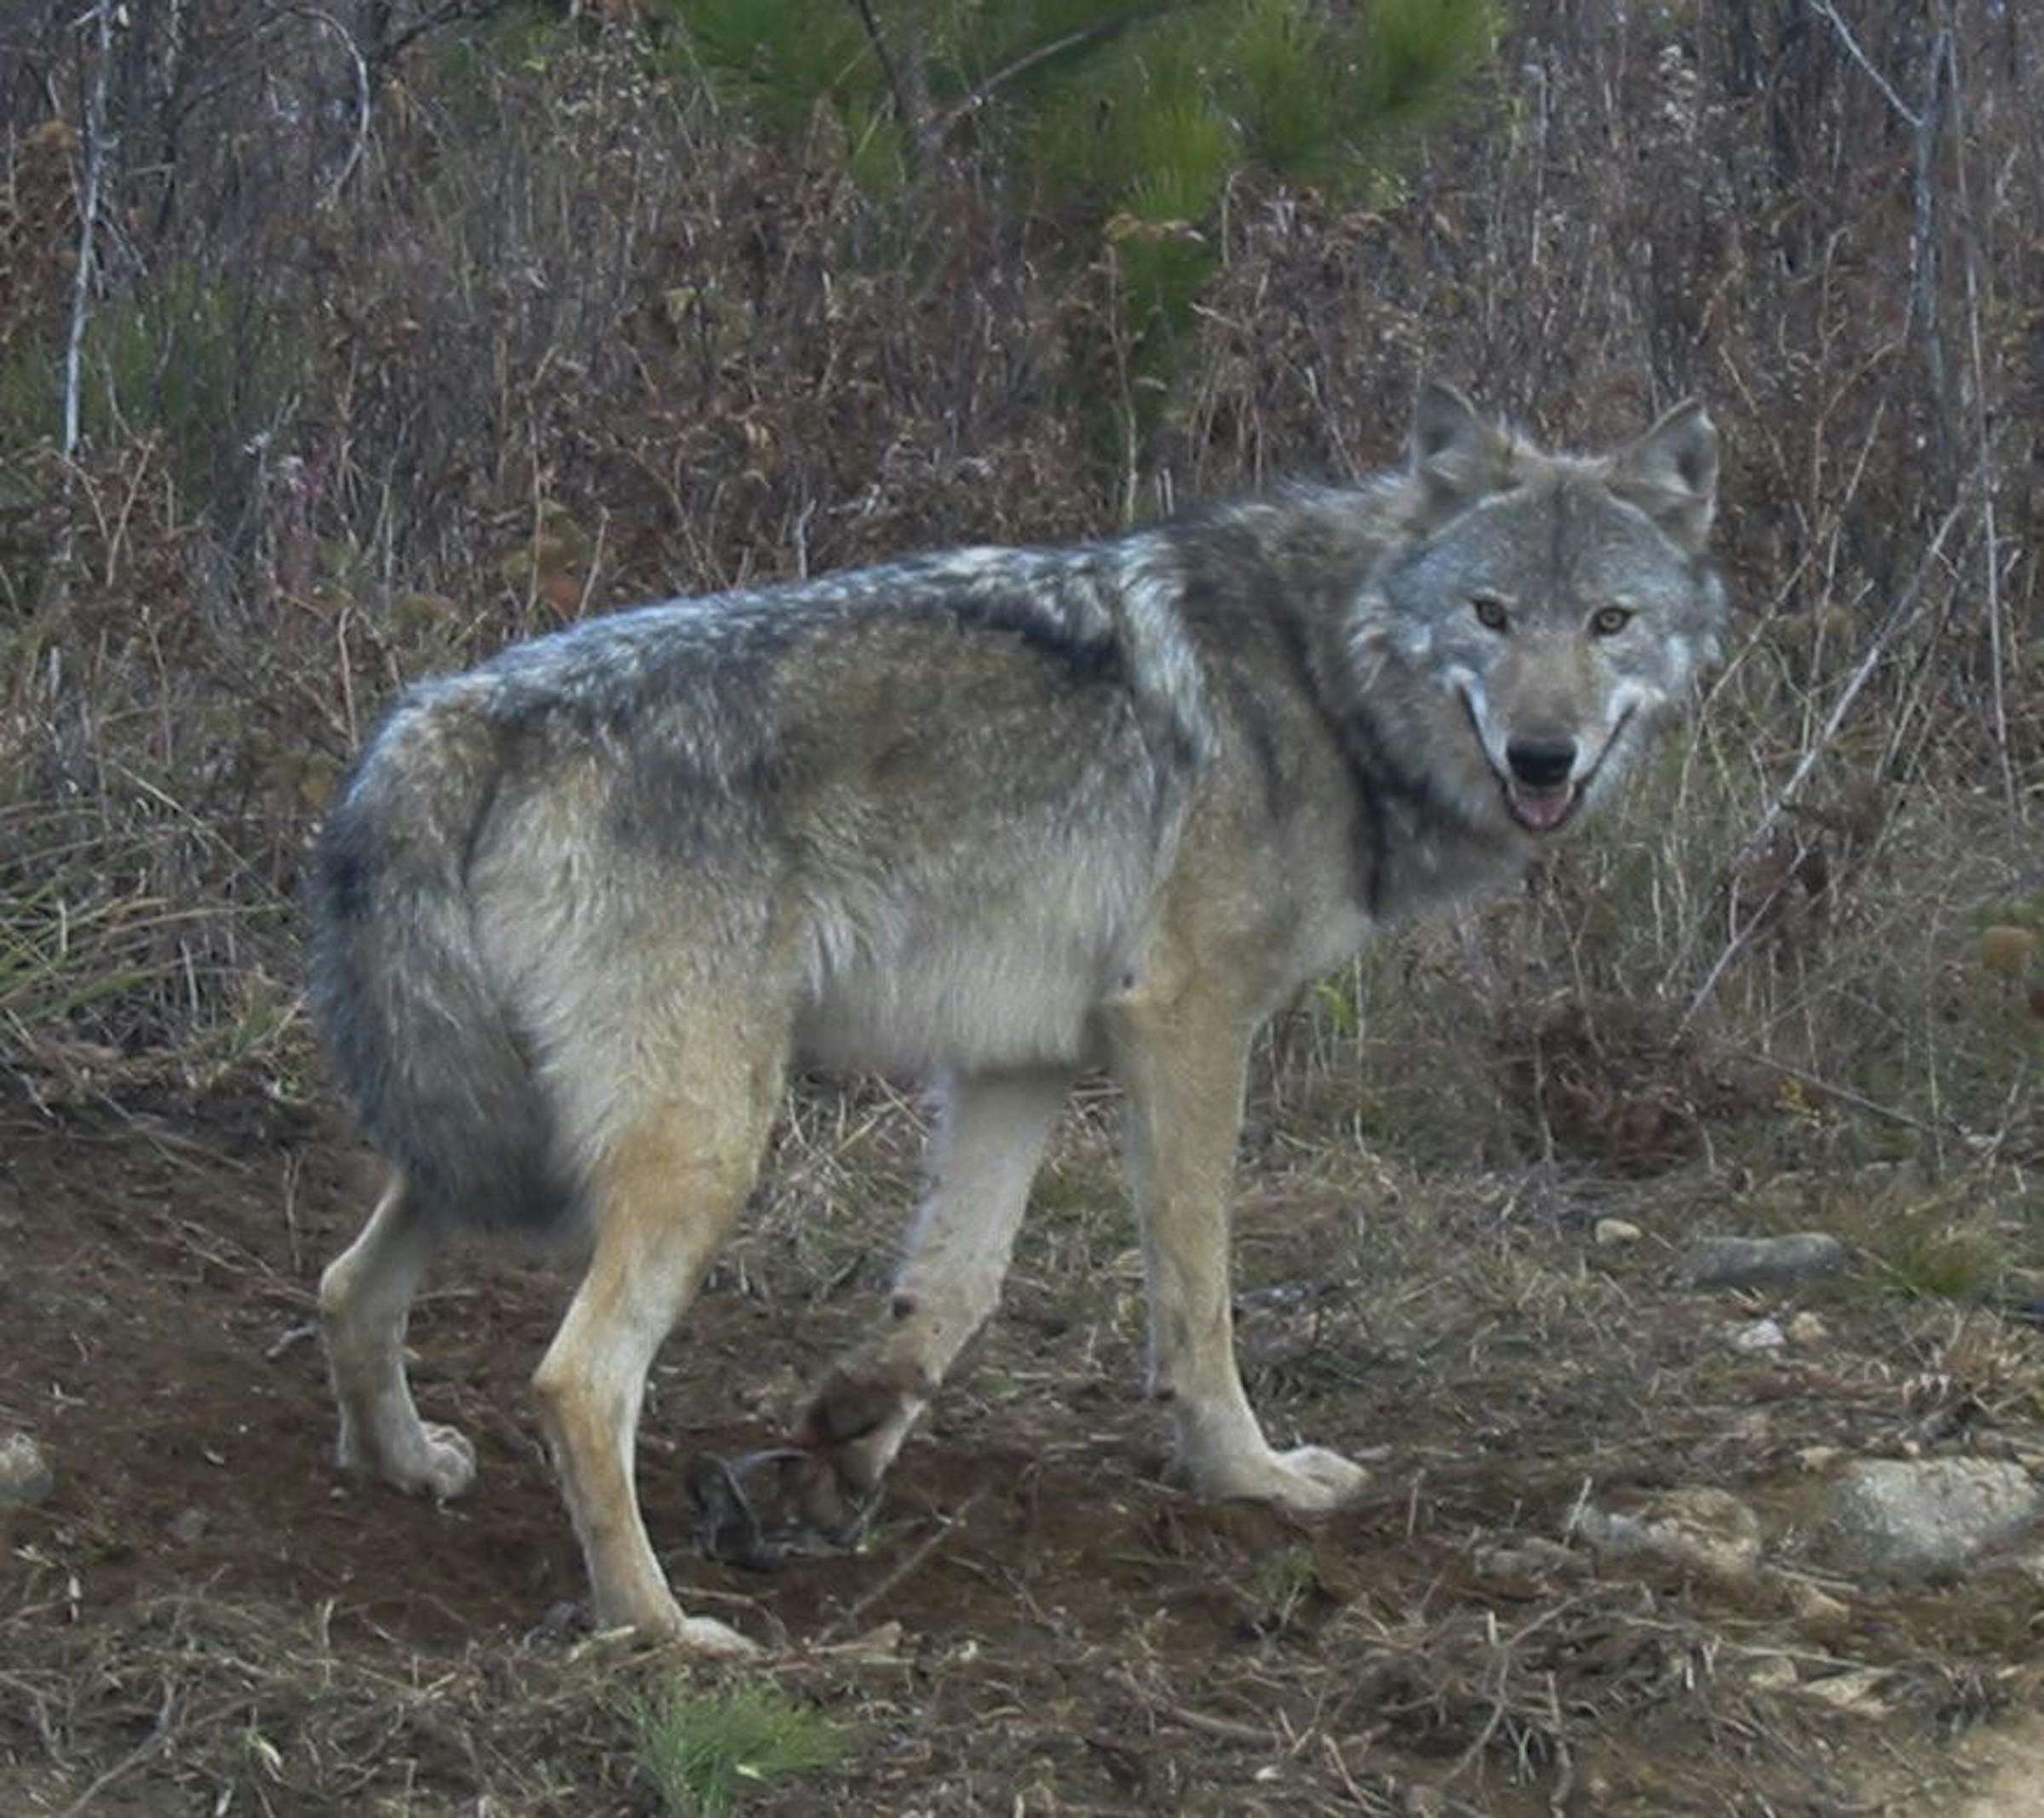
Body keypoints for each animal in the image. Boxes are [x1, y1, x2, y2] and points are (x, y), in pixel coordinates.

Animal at [310, 384, 1726, 1651]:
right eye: (1491, 615)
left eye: (1610, 621)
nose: (1544, 755)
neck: (1321, 677)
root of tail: (458, 709)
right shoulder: (1187, 1024)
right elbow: (1199, 1295)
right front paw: (1251, 1475)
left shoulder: (1020, 1058)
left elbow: (955, 1289)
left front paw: (845, 1440)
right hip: (702, 1142)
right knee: (578, 1378)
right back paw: (656, 1625)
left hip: (506, 1137)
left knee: (348, 1282)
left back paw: (407, 1463)